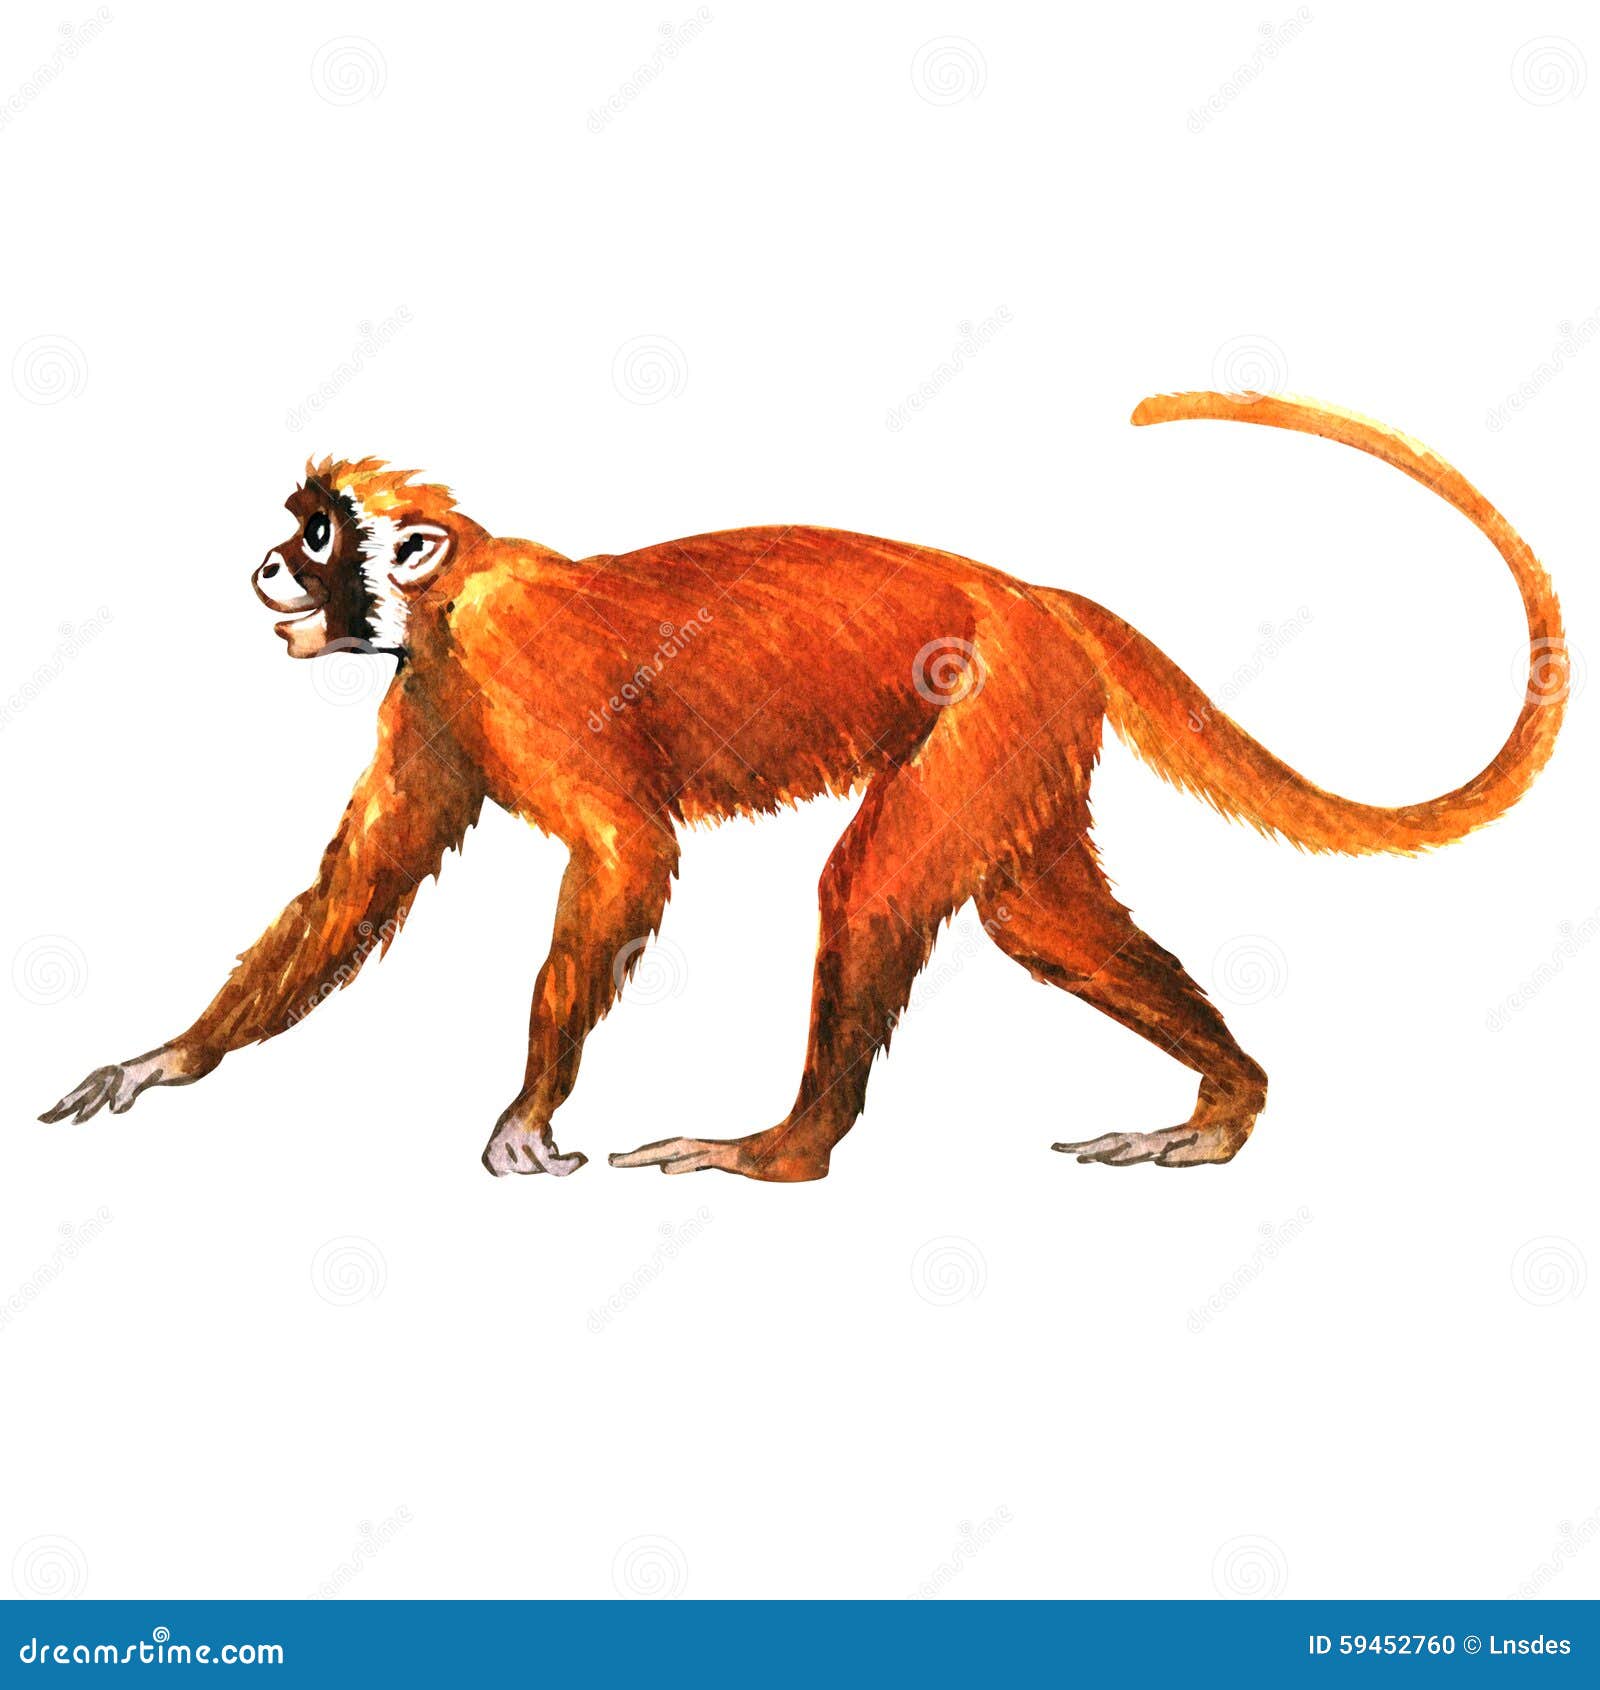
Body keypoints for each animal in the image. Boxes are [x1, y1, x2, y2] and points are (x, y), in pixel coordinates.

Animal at [41, 393, 1566, 1180]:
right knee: (1034, 914)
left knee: (873, 884)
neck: (454, 590)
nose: (265, 566)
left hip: (997, 699)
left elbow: (625, 853)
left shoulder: (500, 667)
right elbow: (363, 884)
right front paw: (167, 1059)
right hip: (1032, 731)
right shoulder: (426, 692)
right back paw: (1227, 1099)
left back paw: (791, 1146)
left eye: (315, 536)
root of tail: (1041, 598)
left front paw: (532, 1109)